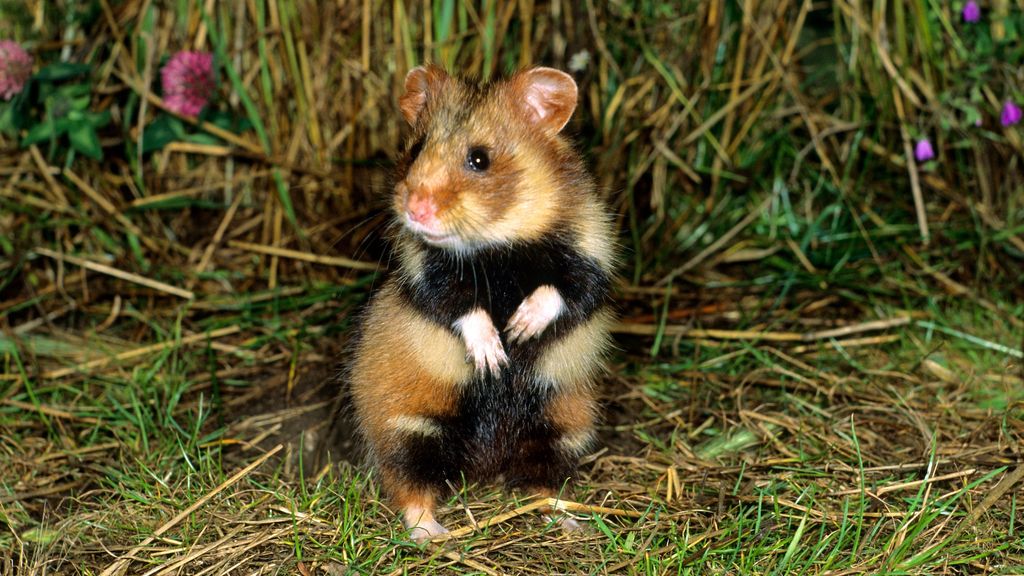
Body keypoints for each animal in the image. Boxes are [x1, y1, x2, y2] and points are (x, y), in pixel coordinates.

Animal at [349, 64, 616, 542]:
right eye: (415, 149)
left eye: (479, 159)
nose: (415, 210)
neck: (498, 241)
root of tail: (485, 468)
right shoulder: (425, 271)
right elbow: (462, 307)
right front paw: (494, 357)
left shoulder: (592, 257)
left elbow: (562, 290)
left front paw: (520, 330)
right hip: (409, 427)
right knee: (410, 485)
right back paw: (433, 535)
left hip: (560, 430)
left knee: (542, 483)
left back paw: (567, 521)